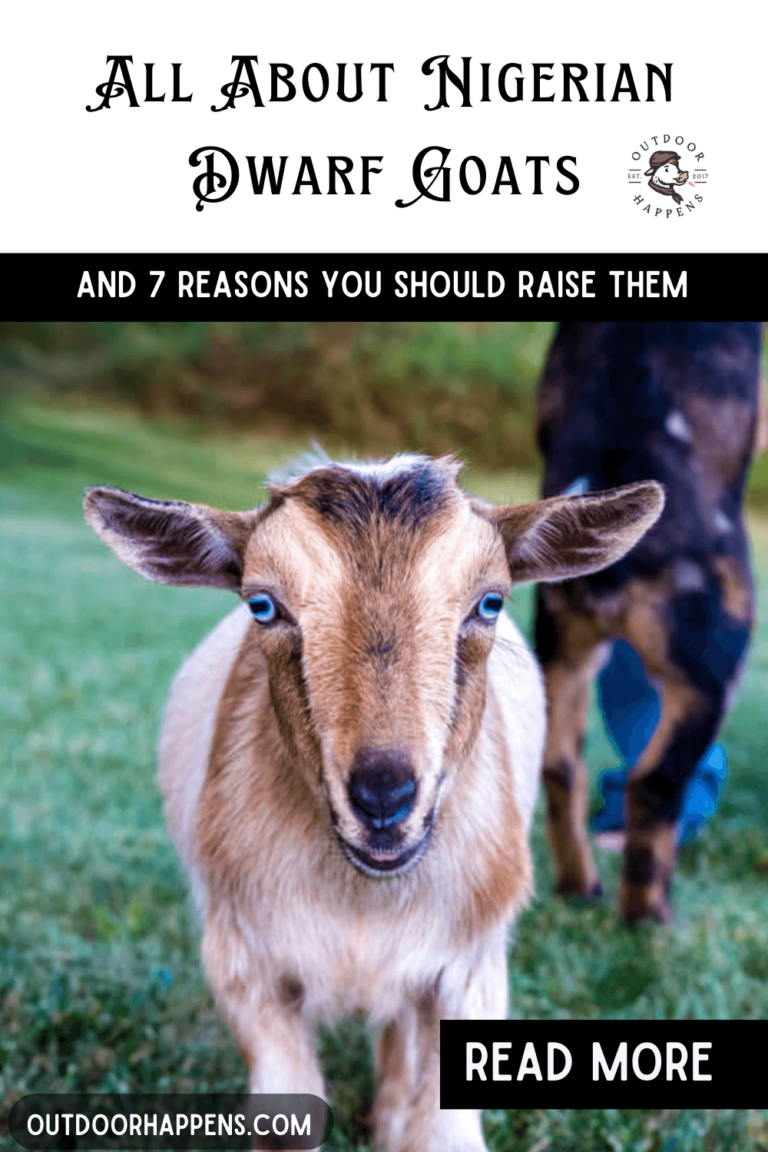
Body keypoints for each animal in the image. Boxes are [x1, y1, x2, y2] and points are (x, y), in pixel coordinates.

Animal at [84, 453, 663, 1152]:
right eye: (262, 605)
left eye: (490, 602)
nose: (383, 796)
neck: (365, 902)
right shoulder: (245, 968)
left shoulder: (470, 968)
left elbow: (442, 1129)